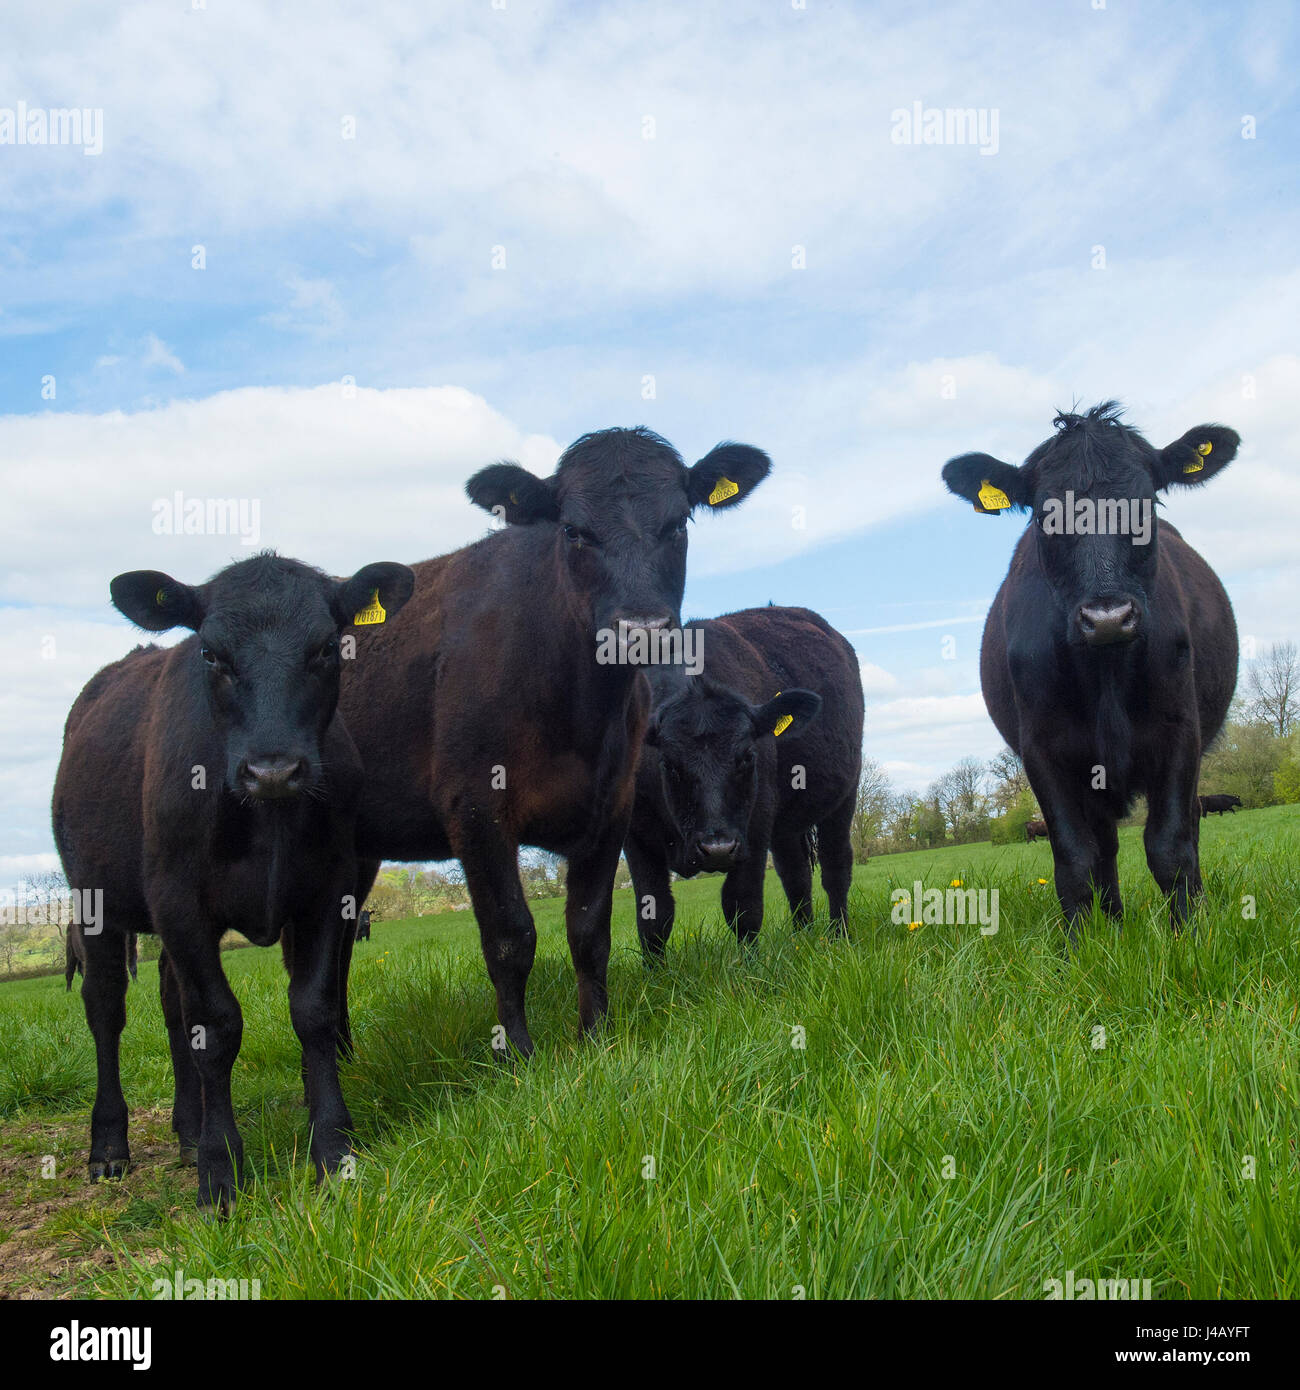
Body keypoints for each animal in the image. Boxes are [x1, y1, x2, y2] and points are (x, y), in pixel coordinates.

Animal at [52, 553, 414, 1210]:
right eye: (210, 654)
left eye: (327, 647)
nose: (273, 769)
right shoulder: (180, 902)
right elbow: (217, 1026)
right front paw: (221, 1172)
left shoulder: (328, 891)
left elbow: (313, 1010)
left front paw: (334, 1151)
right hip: (95, 903)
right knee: (106, 1008)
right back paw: (110, 1145)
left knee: (172, 1006)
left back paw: (188, 1129)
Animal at [337, 427, 771, 1056]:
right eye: (572, 530)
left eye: (678, 524)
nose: (641, 631)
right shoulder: (475, 808)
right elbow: (510, 938)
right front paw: (517, 1055)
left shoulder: (610, 811)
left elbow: (589, 930)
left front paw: (596, 1037)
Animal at [625, 606, 864, 957]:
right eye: (668, 763)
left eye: (748, 756)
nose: (718, 848)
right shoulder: (635, 836)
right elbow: (654, 916)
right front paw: (655, 971)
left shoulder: (755, 822)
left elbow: (743, 904)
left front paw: (750, 965)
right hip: (786, 825)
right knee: (795, 875)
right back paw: (803, 937)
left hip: (844, 795)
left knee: (836, 867)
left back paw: (839, 936)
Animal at [941, 403, 1239, 933]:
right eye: (1045, 514)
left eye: (1148, 505)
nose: (1107, 618)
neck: (1106, 672)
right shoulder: (1042, 749)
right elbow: (1076, 858)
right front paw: (1082, 945)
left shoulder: (1180, 732)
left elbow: (1171, 847)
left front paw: (1190, 936)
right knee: (1105, 847)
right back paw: (1114, 925)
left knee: (1188, 826)